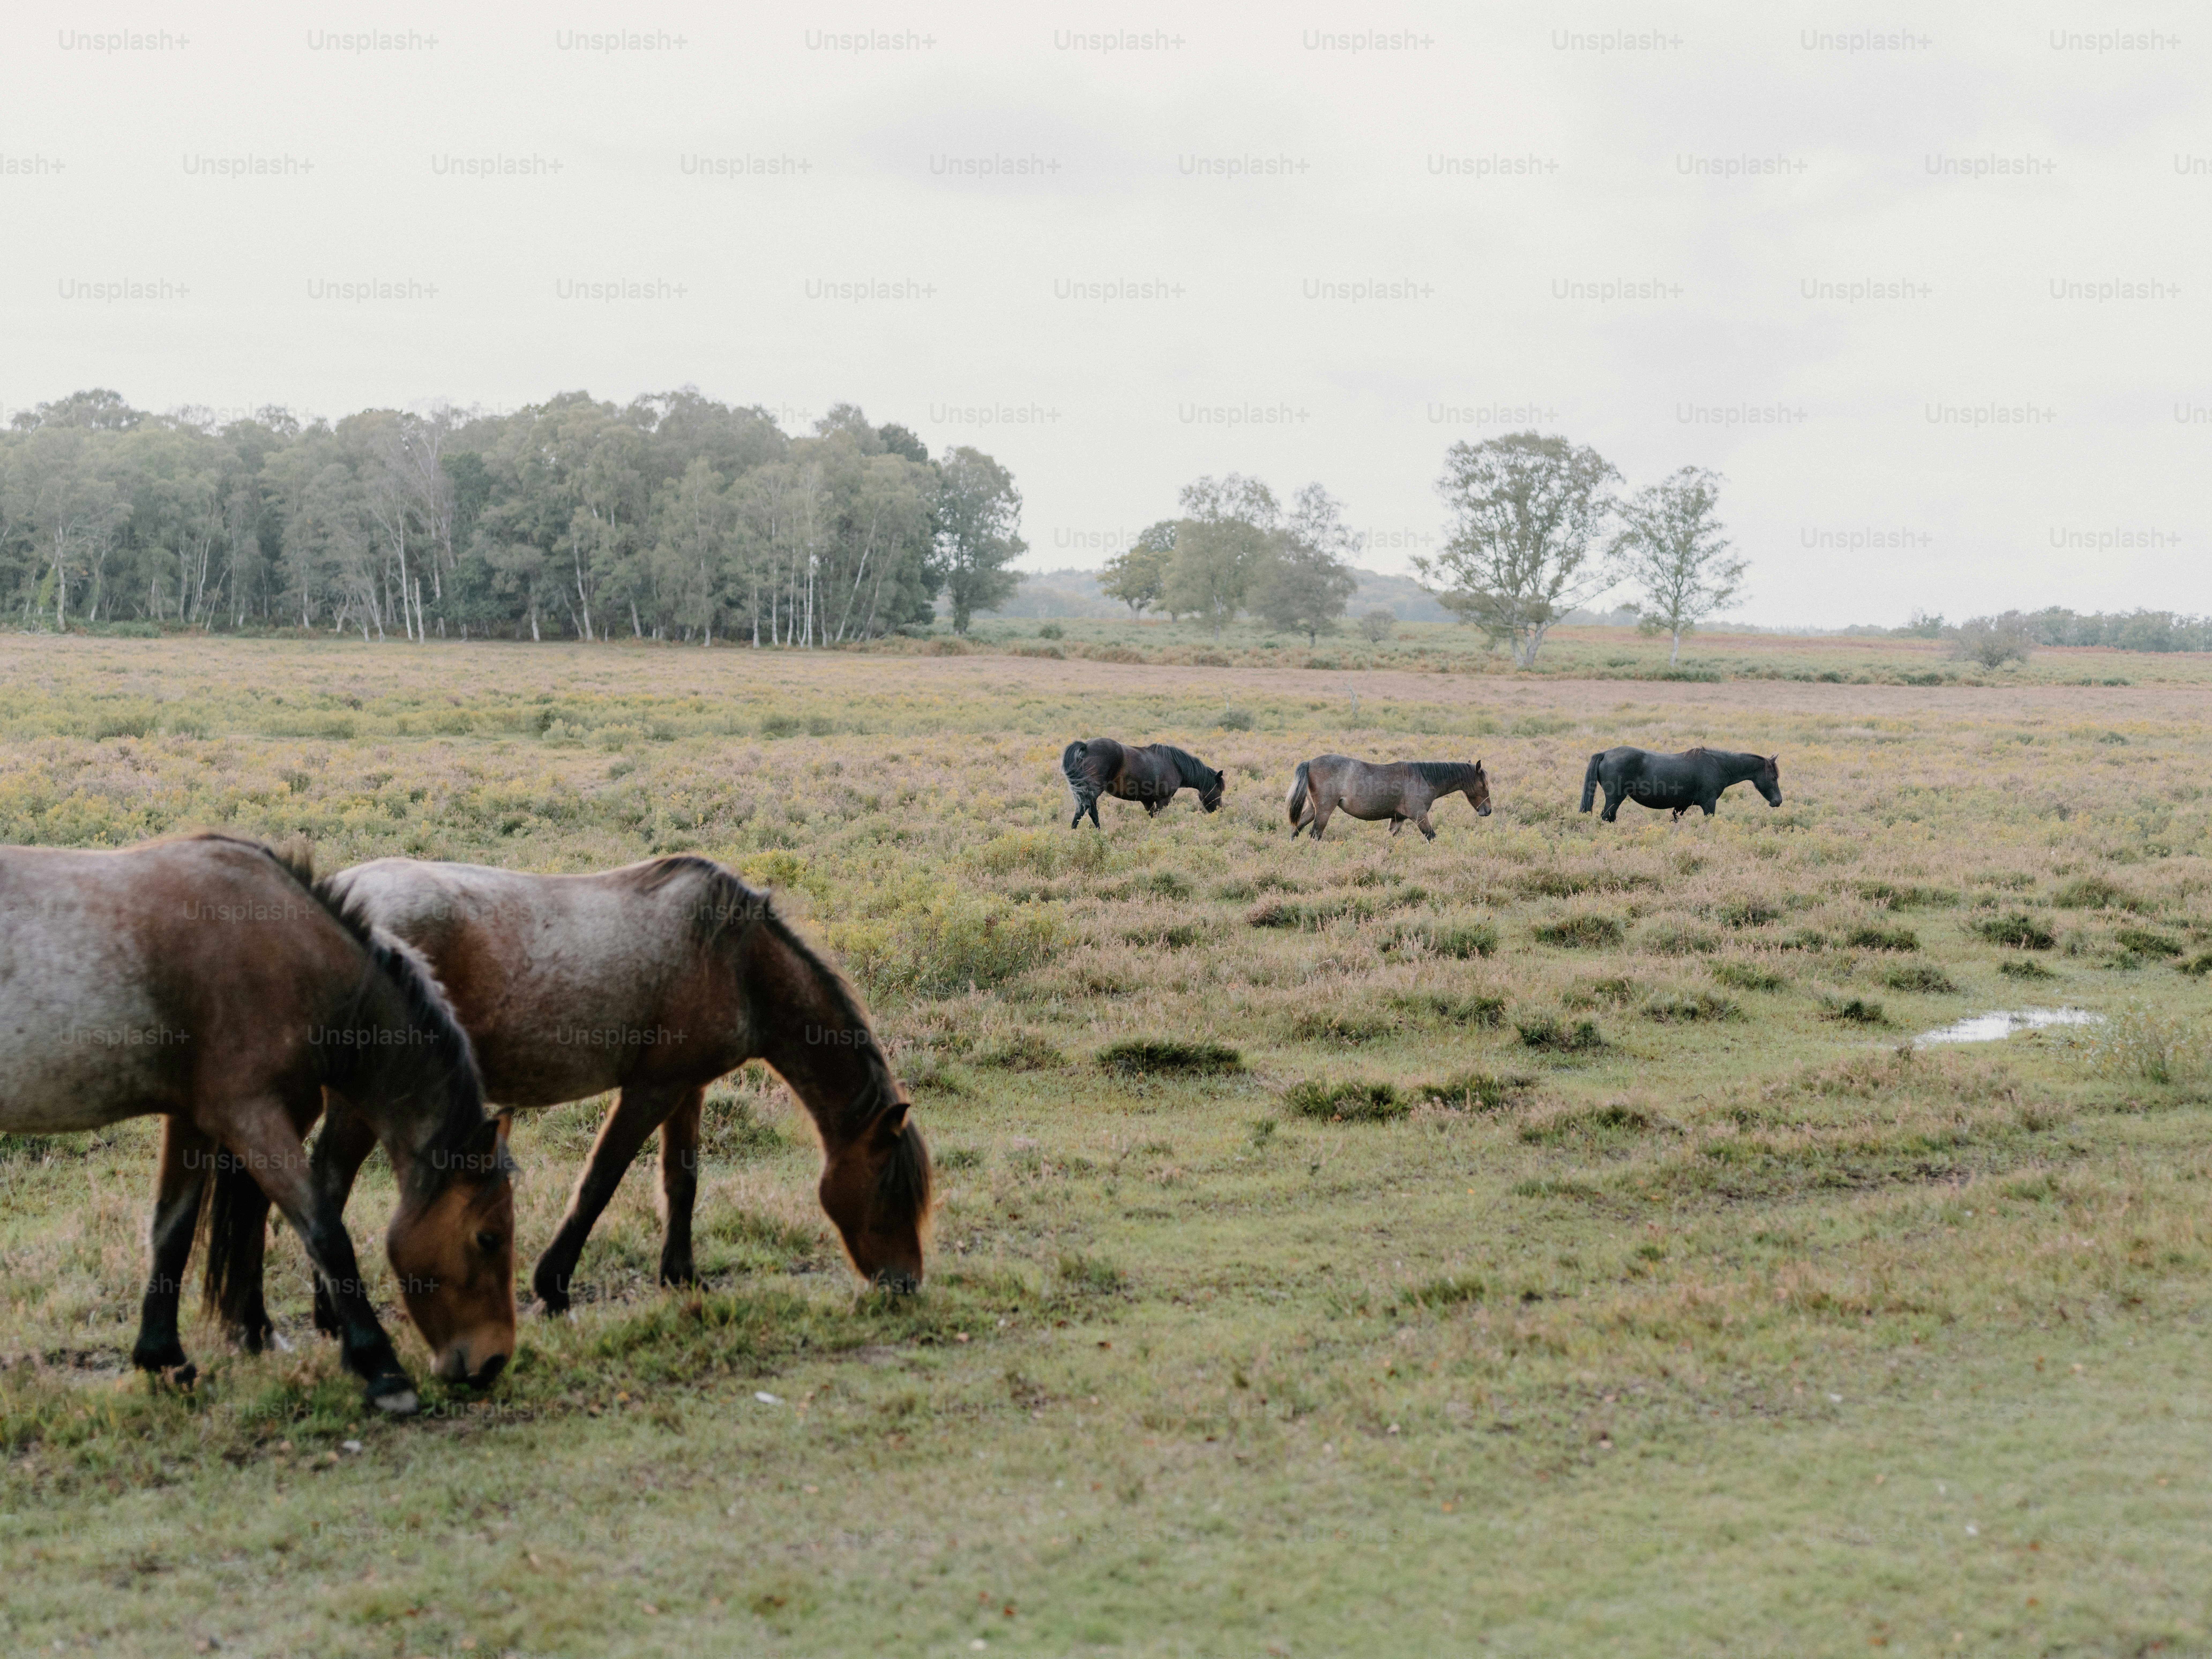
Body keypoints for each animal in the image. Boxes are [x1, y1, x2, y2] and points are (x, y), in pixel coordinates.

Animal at [0, 833, 513, 1413]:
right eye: (489, 1238)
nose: (493, 1360)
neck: (286, 953)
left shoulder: (194, 1121)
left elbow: (172, 1232)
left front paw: (165, 1359)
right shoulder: (253, 1119)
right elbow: (326, 1234)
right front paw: (382, 1370)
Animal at [220, 854, 931, 1321]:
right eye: (889, 1192)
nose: (906, 1285)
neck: (737, 960)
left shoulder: (686, 1087)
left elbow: (682, 1180)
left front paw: (681, 1277)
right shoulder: (650, 1089)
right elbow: (601, 1181)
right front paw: (554, 1284)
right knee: (327, 1182)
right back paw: (329, 1315)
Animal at [1062, 739, 1226, 829]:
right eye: (1219, 791)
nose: (1221, 812)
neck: (1175, 765)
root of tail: (1085, 747)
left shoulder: (1147, 801)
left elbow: (1152, 816)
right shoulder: (1164, 800)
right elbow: (1158, 817)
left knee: (1087, 812)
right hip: (1092, 791)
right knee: (1085, 812)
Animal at [1286, 756, 1492, 841]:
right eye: (1484, 785)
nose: (1488, 810)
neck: (1424, 778)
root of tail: (1310, 763)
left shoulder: (1398, 819)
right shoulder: (1420, 816)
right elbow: (1432, 837)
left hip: (1313, 810)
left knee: (1296, 830)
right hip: (1324, 811)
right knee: (1315, 834)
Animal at [1580, 746, 1781, 822]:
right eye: (1774, 778)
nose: (1778, 801)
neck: (1718, 765)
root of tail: (1605, 754)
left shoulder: (1681, 806)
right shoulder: (1709, 805)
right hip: (1614, 799)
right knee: (1607, 817)